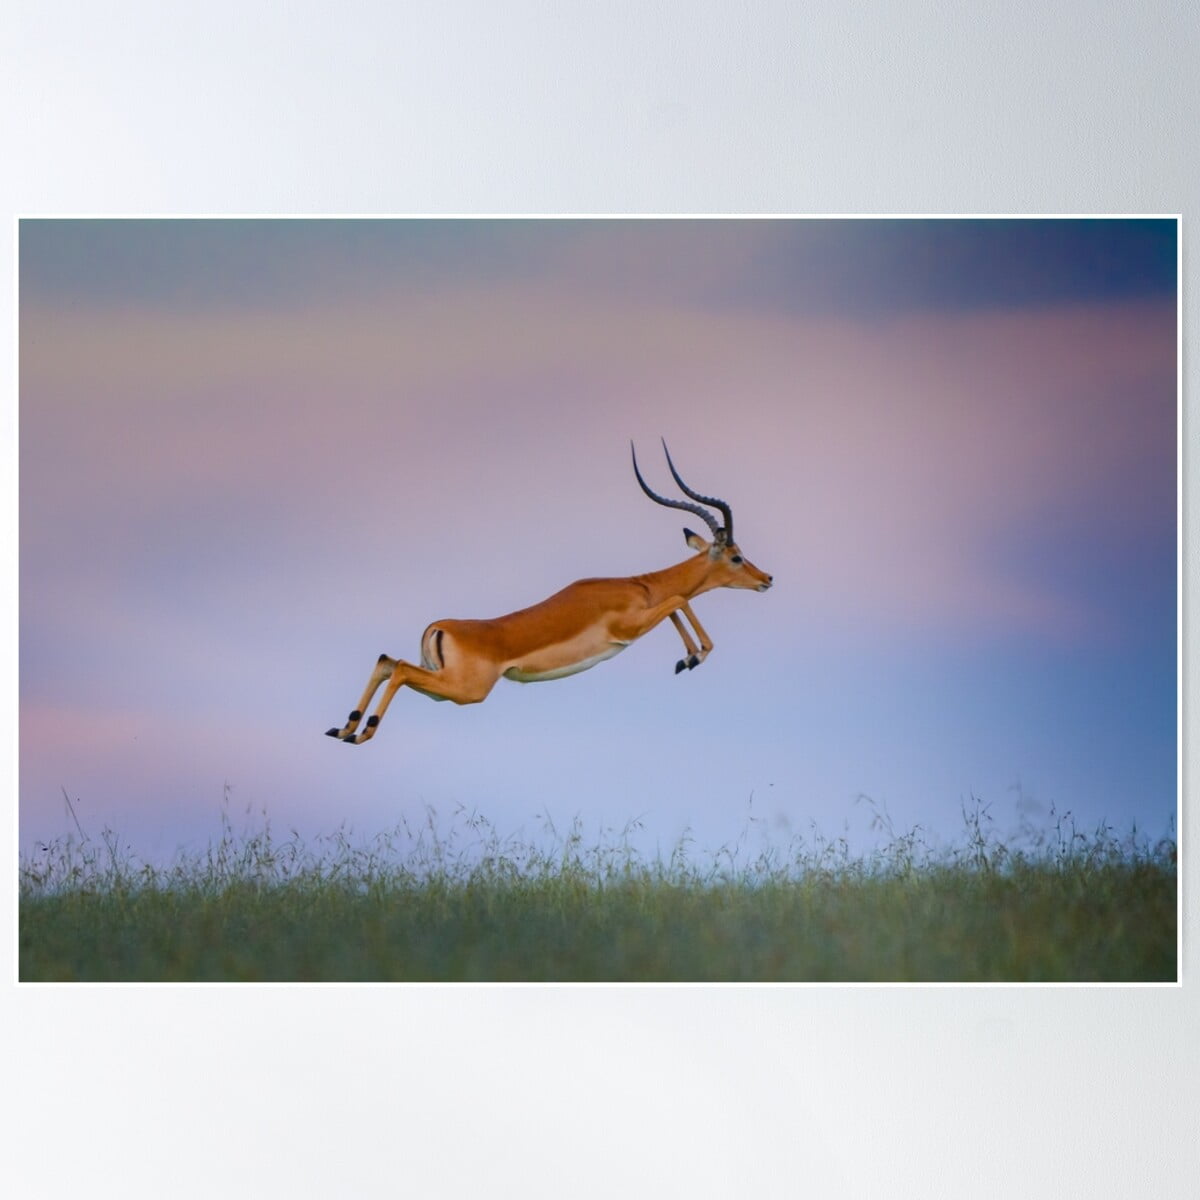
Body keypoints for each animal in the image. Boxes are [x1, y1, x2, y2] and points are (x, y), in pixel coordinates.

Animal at [325, 440, 772, 744]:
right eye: (736, 556)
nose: (766, 578)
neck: (637, 585)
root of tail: (439, 626)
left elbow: (675, 603)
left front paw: (687, 659)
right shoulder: (629, 627)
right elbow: (678, 599)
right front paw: (694, 657)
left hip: (441, 686)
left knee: (387, 660)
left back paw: (345, 729)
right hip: (464, 691)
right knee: (398, 667)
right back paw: (362, 732)